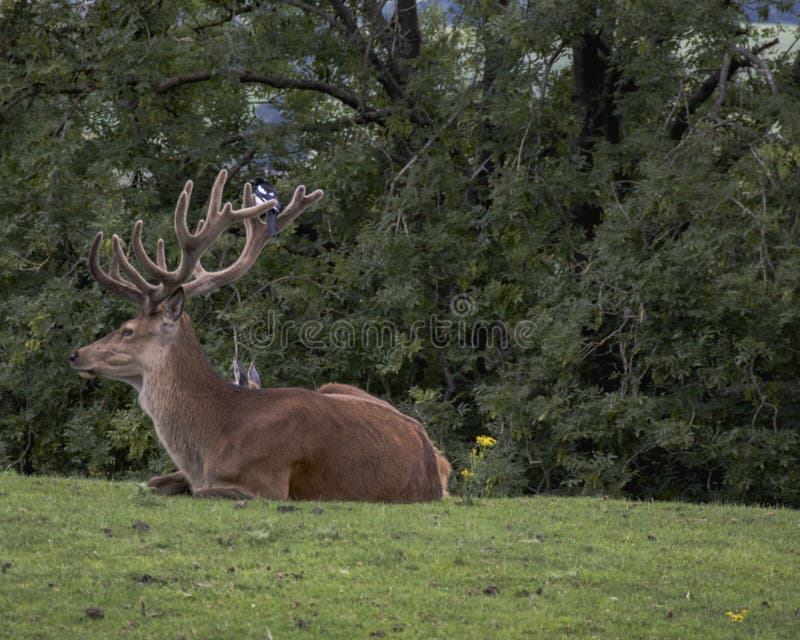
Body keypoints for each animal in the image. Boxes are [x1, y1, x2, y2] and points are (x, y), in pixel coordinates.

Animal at [69, 170, 449, 502]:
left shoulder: (267, 482)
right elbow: (152, 482)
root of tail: (432, 463)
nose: (76, 354)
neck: (216, 438)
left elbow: (200, 491)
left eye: (128, 330)